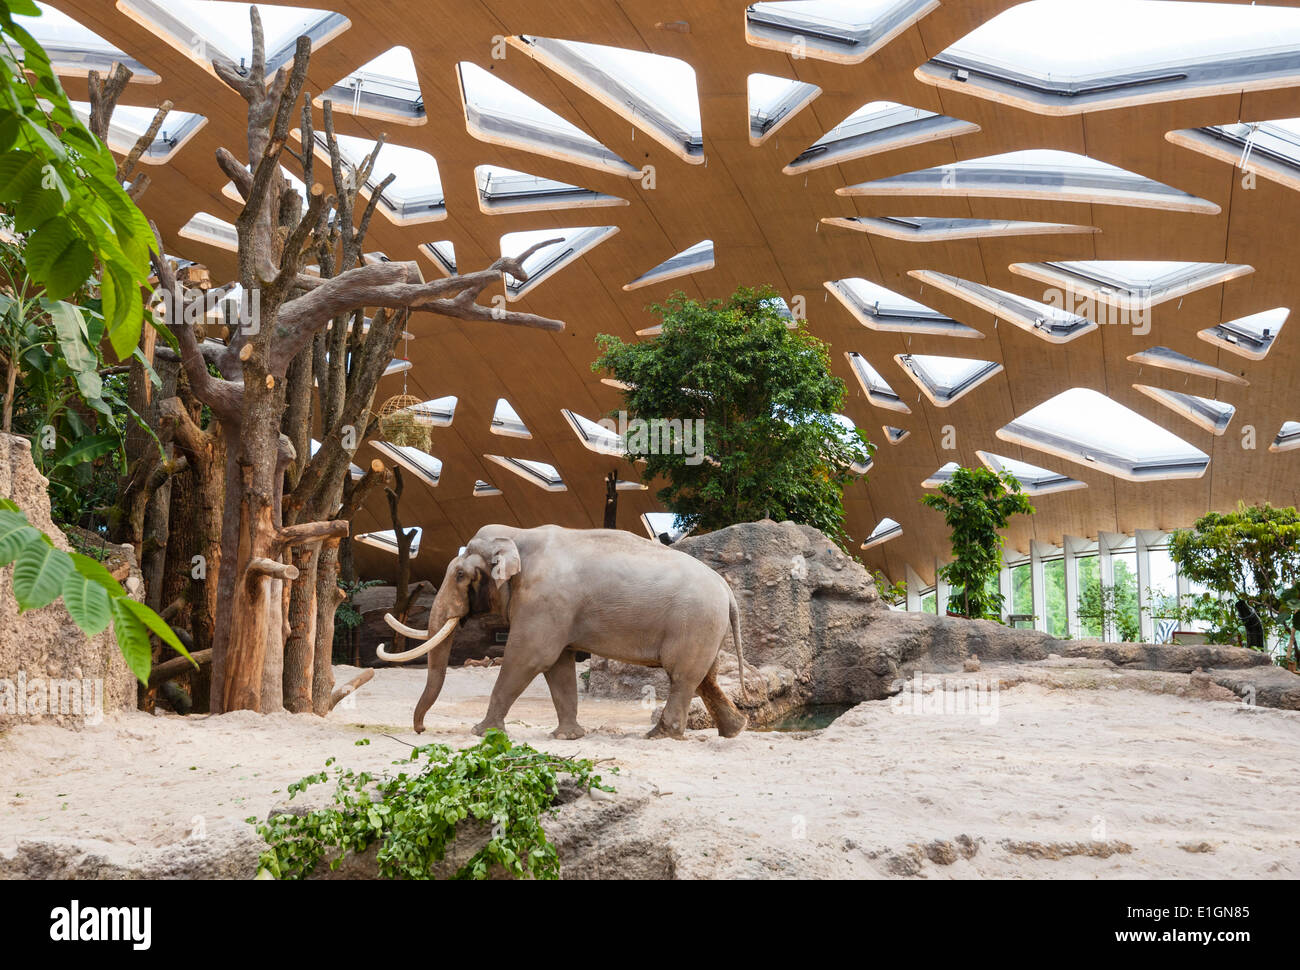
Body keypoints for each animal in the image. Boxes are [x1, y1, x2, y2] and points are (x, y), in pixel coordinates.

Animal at [377, 524, 749, 740]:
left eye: (459, 576)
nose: (422, 729)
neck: (516, 535)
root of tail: (727, 589)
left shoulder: (544, 601)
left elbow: (529, 657)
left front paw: (481, 732)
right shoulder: (554, 610)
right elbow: (558, 665)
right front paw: (568, 737)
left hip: (694, 622)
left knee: (683, 677)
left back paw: (659, 735)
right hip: (706, 627)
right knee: (705, 677)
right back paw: (734, 730)